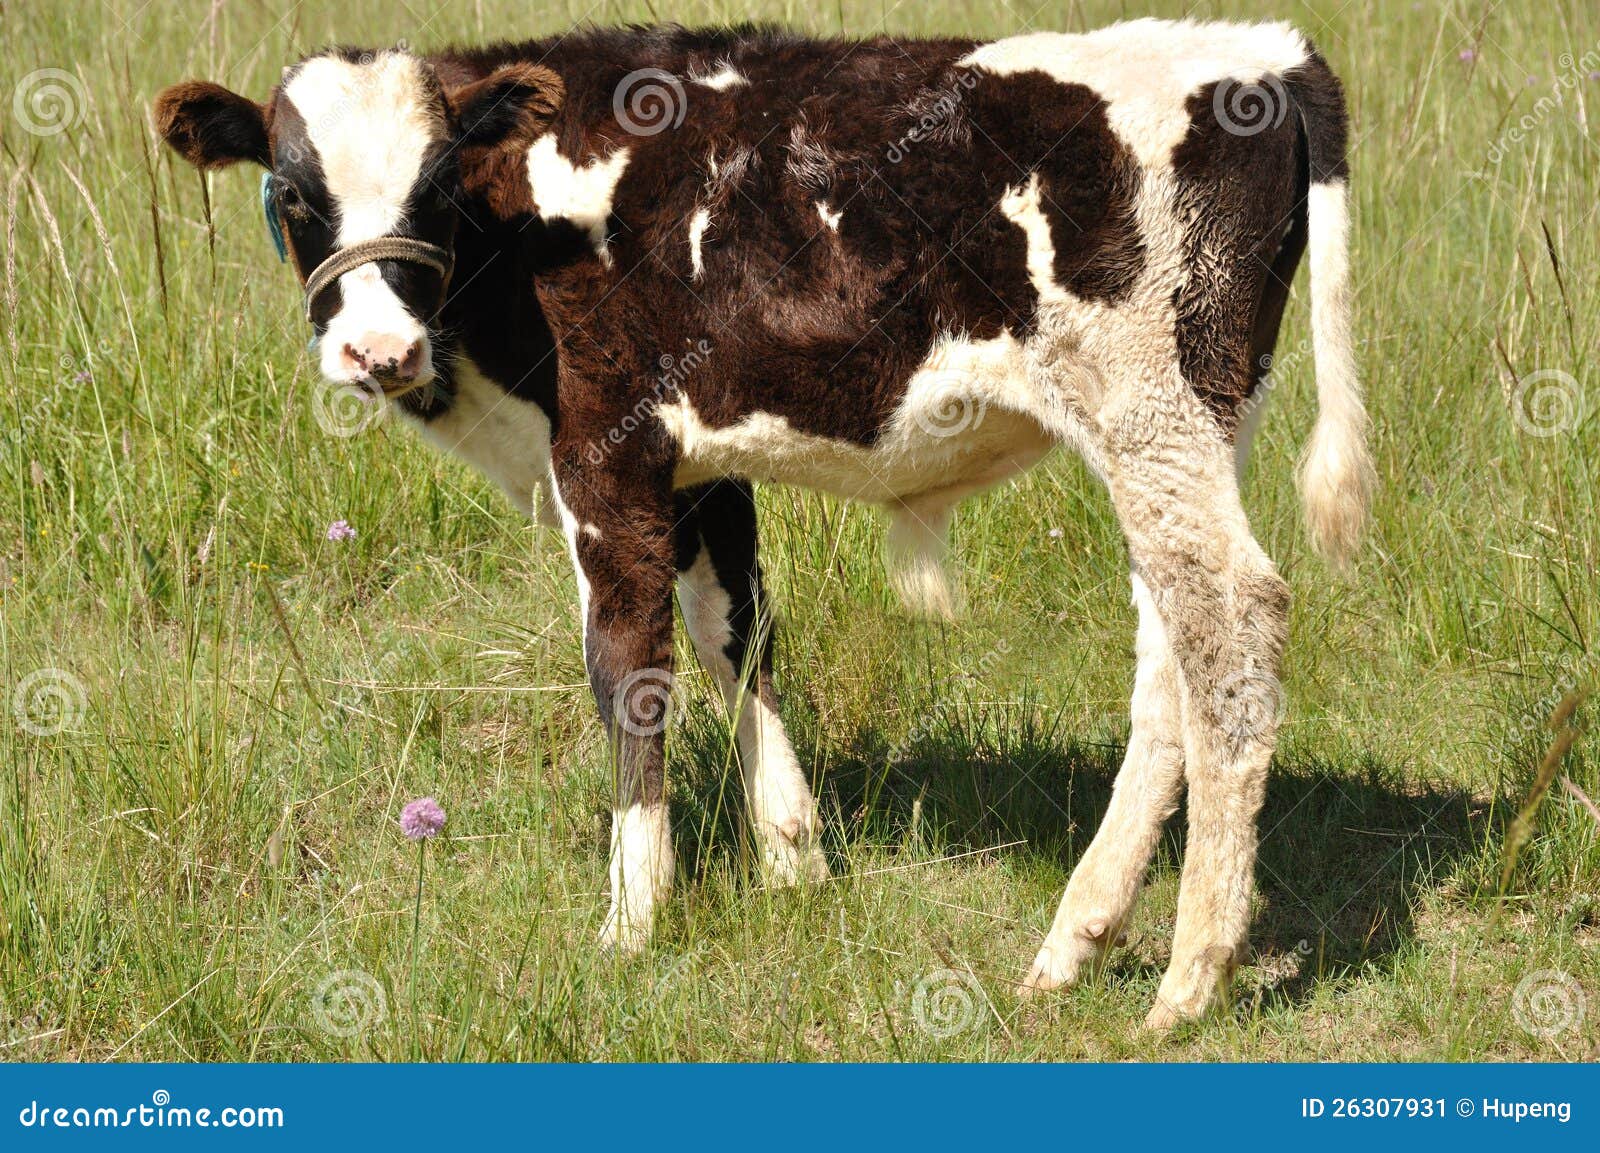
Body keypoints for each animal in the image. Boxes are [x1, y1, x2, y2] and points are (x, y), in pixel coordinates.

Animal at [154, 18, 1374, 1028]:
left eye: (438, 186)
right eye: (293, 195)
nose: (377, 351)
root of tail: (1267, 51)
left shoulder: (607, 455)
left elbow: (630, 669)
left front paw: (632, 917)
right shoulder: (704, 467)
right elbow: (737, 635)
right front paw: (794, 861)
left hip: (1152, 405)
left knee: (1233, 620)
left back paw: (1188, 979)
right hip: (1199, 419)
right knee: (1172, 654)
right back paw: (1075, 943)